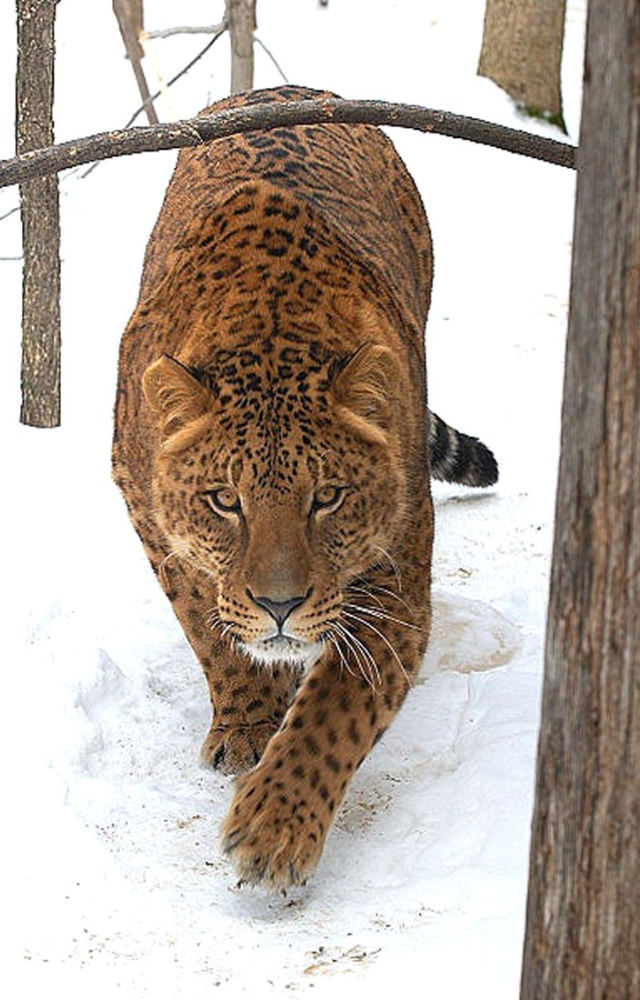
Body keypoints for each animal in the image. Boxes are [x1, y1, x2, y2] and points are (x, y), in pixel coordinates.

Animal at [112, 85, 497, 891]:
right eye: (224, 502)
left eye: (328, 499)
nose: (281, 606)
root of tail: (290, 90)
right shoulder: (143, 503)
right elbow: (207, 622)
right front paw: (251, 721)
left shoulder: (393, 579)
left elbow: (337, 709)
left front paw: (275, 826)